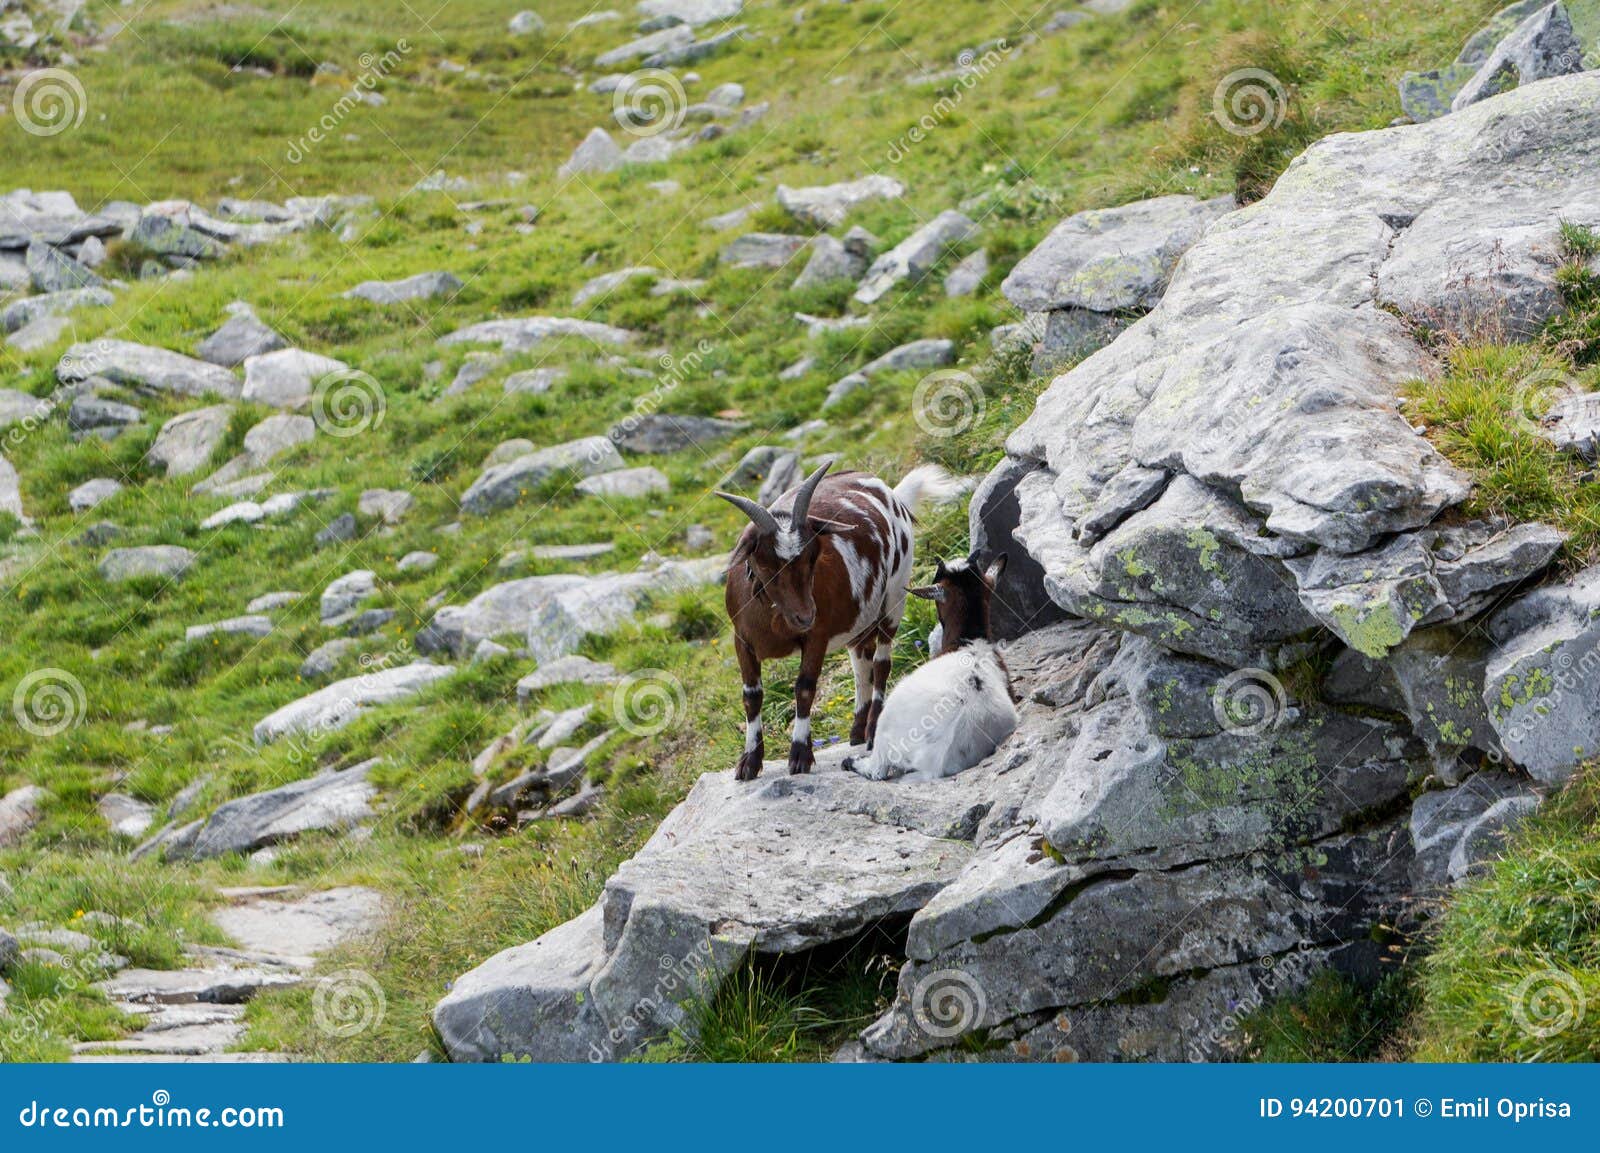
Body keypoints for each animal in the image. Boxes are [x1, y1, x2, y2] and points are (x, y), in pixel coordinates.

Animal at [718, 460, 962, 780]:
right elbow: (752, 695)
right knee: (861, 667)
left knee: (881, 664)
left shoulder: (816, 637)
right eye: (765, 563)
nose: (805, 615)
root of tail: (892, 493)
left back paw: (872, 729)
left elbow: (804, 687)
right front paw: (749, 762)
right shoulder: (742, 640)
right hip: (858, 621)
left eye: (812, 555)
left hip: (894, 597)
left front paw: (800, 755)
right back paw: (857, 728)